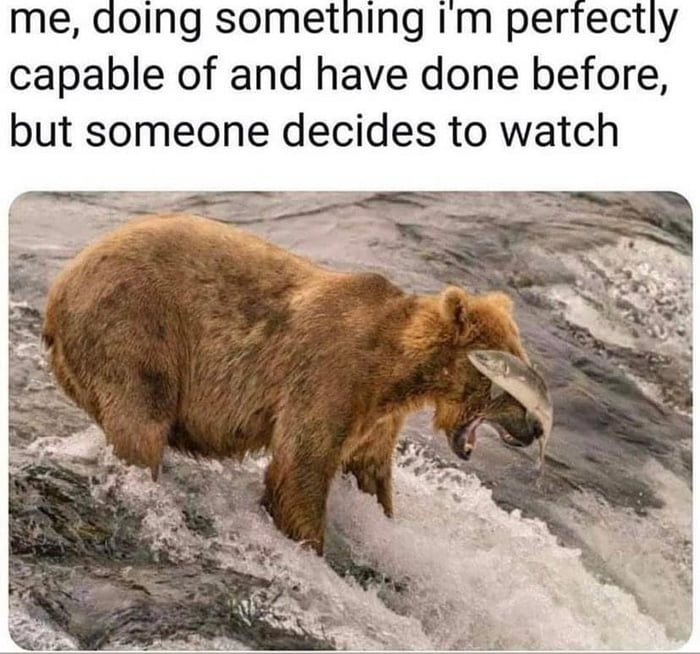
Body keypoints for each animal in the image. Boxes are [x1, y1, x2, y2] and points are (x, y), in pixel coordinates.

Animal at [43, 214, 544, 553]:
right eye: (507, 377)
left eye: (522, 358)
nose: (536, 426)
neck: (396, 371)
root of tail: (59, 288)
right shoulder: (331, 375)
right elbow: (300, 467)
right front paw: (311, 545)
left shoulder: (376, 417)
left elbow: (370, 473)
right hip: (134, 330)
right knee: (140, 424)